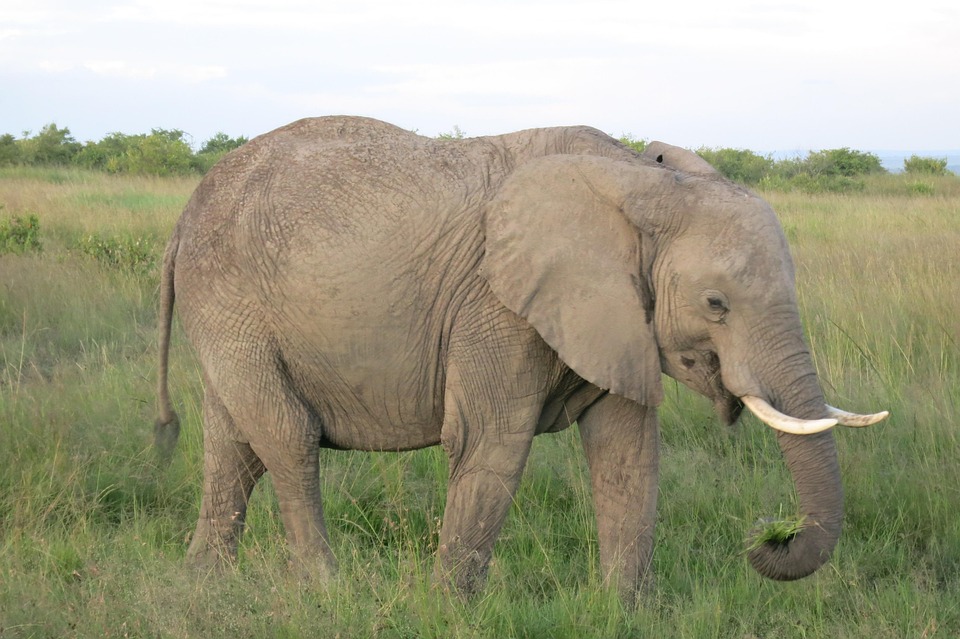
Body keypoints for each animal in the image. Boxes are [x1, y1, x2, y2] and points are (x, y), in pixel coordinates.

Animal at [154, 116, 886, 602]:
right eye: (715, 304)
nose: (770, 536)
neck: (641, 179)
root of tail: (182, 218)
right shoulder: (496, 304)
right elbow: (490, 442)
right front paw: (449, 611)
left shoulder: (616, 315)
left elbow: (628, 455)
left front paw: (627, 613)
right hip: (228, 299)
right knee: (286, 435)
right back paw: (325, 591)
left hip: (229, 310)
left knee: (233, 443)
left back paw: (201, 585)